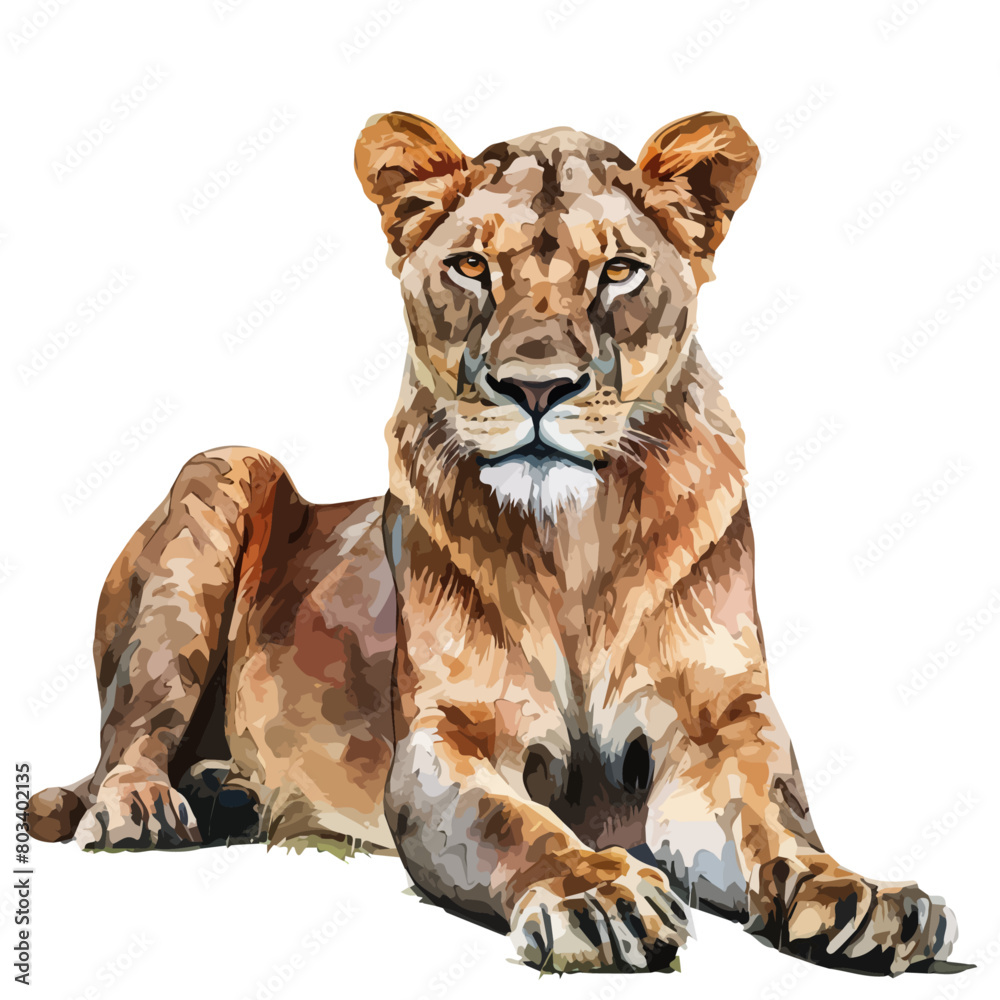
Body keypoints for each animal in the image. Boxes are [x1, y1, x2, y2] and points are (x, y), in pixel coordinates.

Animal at [28, 110, 965, 977]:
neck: (576, 544)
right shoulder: (447, 740)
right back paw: (150, 807)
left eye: (618, 270)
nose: (537, 388)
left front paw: (856, 892)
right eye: (472, 267)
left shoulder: (718, 728)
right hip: (223, 467)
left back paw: (227, 794)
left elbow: (775, 819)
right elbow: (515, 823)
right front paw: (597, 892)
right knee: (127, 738)